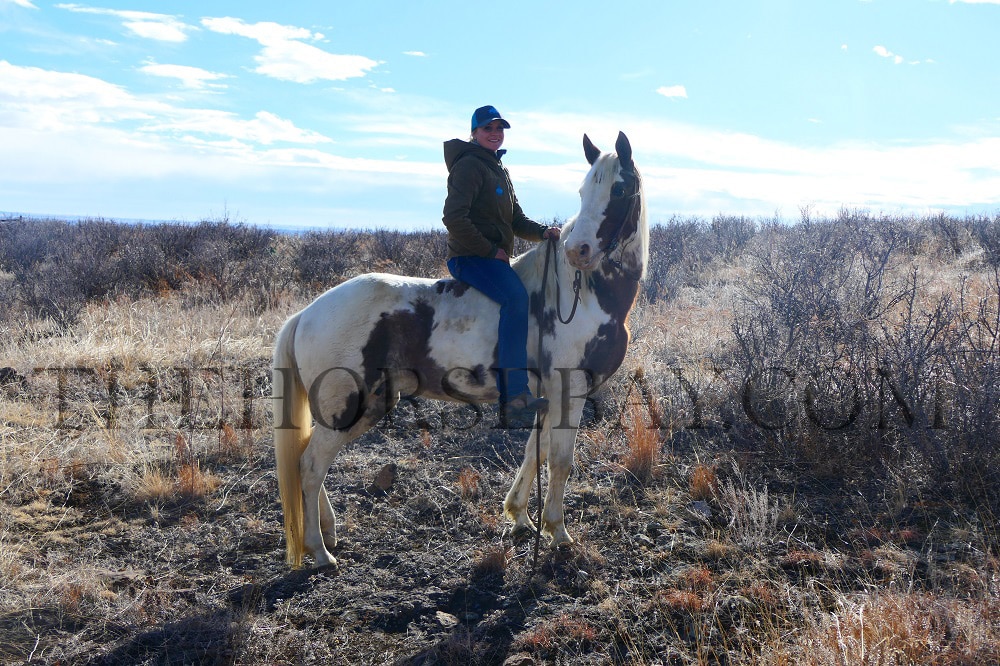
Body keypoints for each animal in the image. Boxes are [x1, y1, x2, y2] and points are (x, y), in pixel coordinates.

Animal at [272, 131, 647, 567]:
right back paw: (318, 551)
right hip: (346, 409)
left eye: (617, 189)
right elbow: (560, 462)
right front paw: (558, 532)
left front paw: (520, 517)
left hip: (366, 407)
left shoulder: (547, 398)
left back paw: (329, 535)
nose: (577, 250)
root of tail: (306, 313)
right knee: (312, 467)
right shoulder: (569, 392)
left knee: (312, 465)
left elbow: (534, 453)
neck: (580, 294)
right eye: (585, 190)